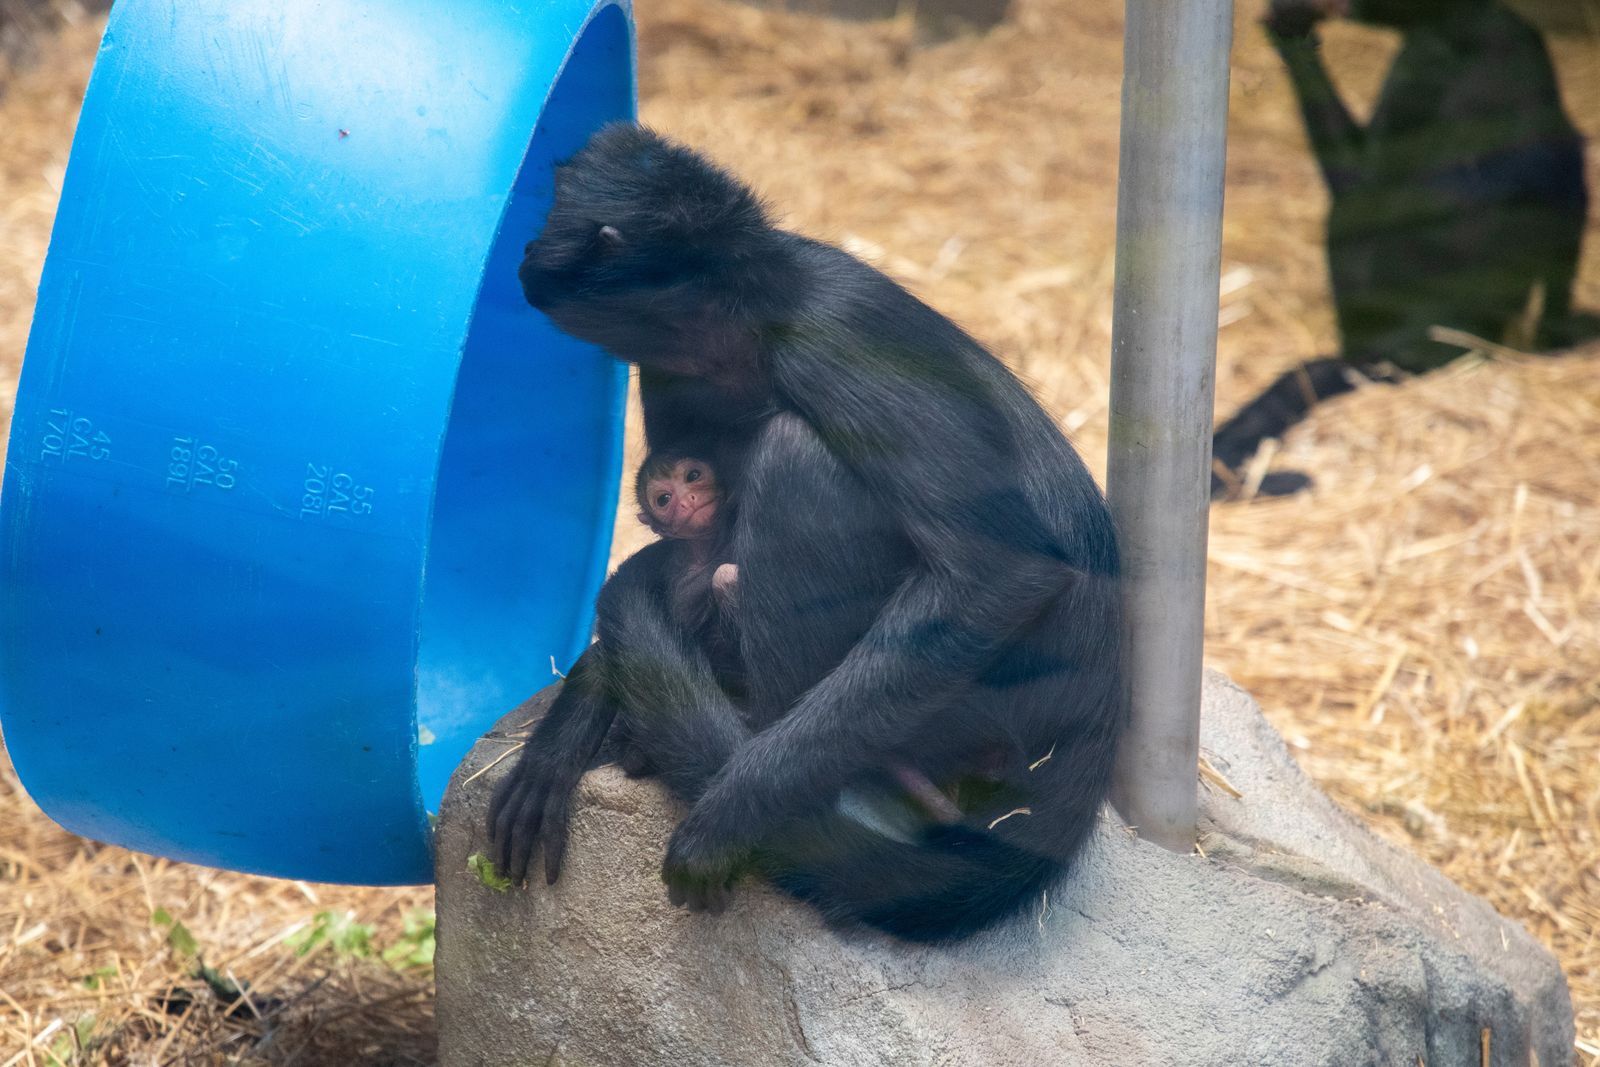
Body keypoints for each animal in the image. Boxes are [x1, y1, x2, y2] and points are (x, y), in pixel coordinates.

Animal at [491, 124, 1123, 942]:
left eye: (555, 214)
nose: (527, 249)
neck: (749, 317)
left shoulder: (836, 332)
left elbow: (999, 570)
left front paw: (727, 812)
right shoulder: (669, 371)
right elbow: (679, 556)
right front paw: (572, 724)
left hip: (979, 711)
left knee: (797, 451)